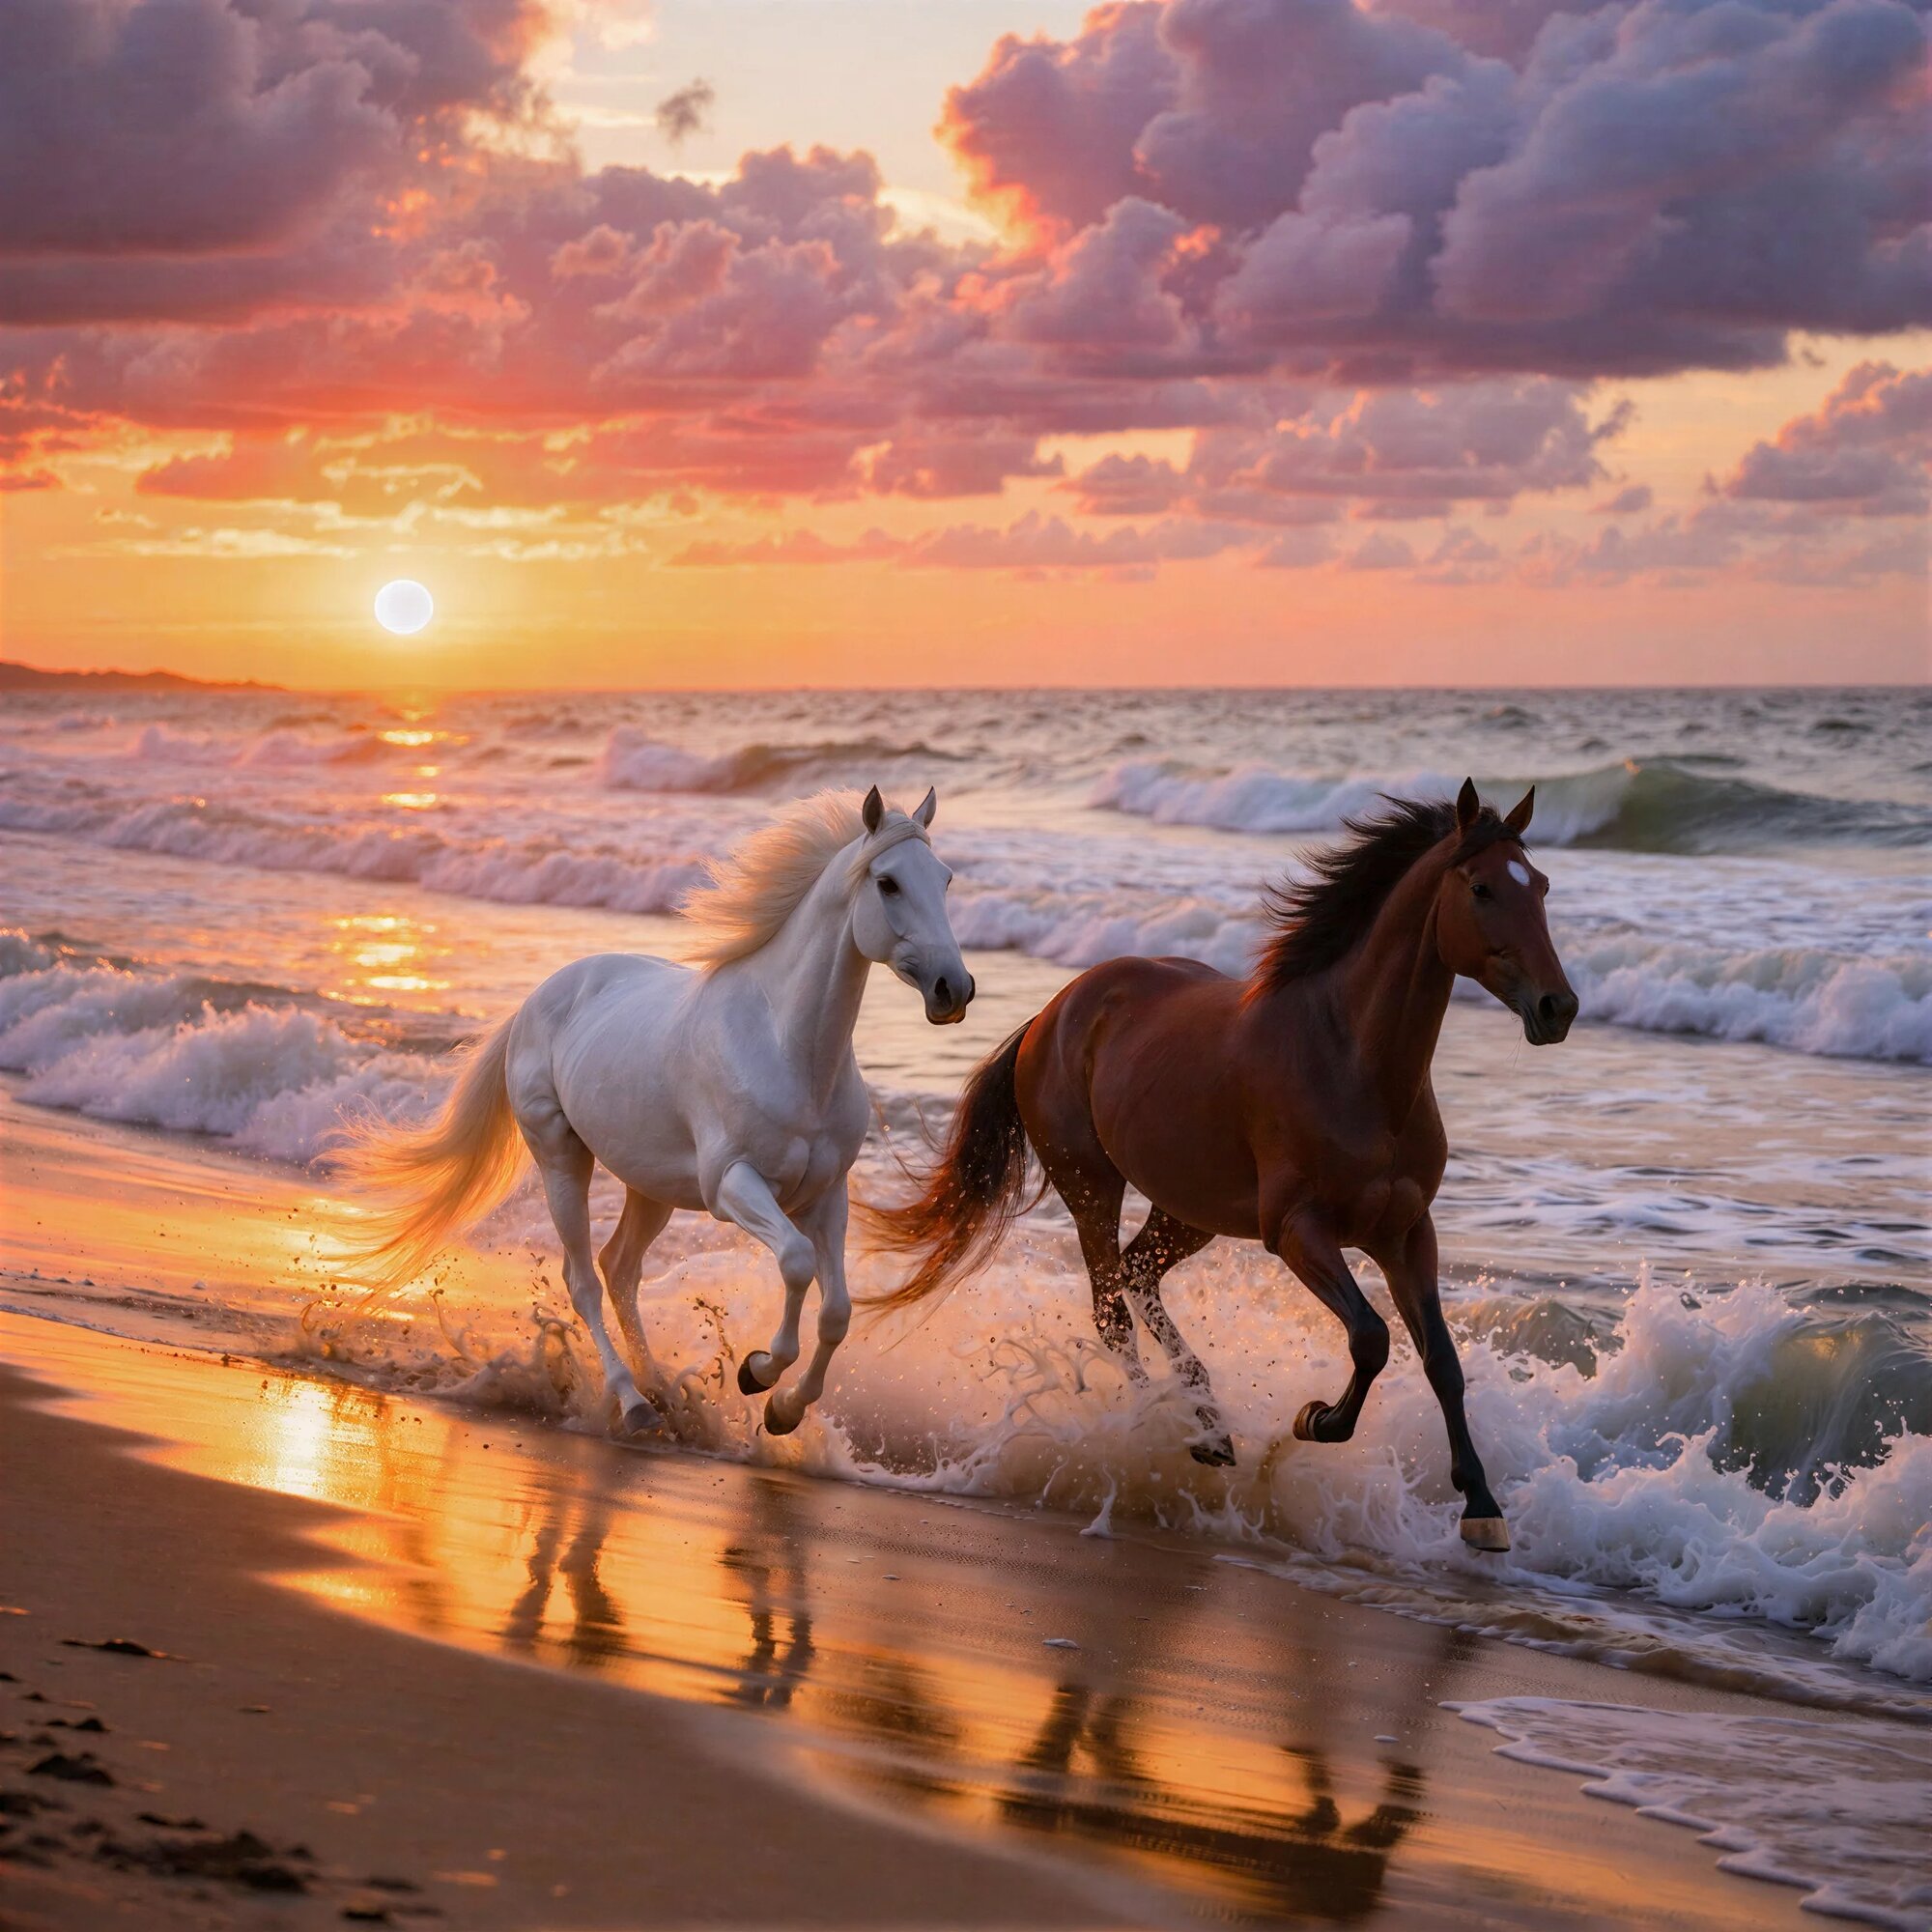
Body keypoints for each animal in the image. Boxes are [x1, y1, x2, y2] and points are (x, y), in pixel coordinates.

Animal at [342, 786, 973, 1437]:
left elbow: (838, 1312)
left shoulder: (827, 1195)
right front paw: (758, 1371)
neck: (787, 1049)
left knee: (620, 1269)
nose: (954, 988)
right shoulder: (731, 1186)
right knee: (583, 1280)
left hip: (651, 1188)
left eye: (945, 879)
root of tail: (537, 1000)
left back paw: (661, 1391)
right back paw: (633, 1402)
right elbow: (796, 1263)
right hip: (561, 1158)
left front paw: (784, 1410)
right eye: (888, 883)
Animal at [865, 780, 1576, 1552]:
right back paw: (1169, 1431)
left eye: (1541, 886)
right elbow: (1371, 1338)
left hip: (1187, 1211)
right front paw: (1315, 1420)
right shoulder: (1297, 1231)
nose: (1558, 1007)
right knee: (1111, 1308)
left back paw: (1207, 1425)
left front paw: (1483, 1507)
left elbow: (1441, 1360)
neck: (1352, 1060)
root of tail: (1053, 1012)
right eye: (1481, 888)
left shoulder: (1407, 1233)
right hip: (1092, 1186)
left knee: (1139, 1277)